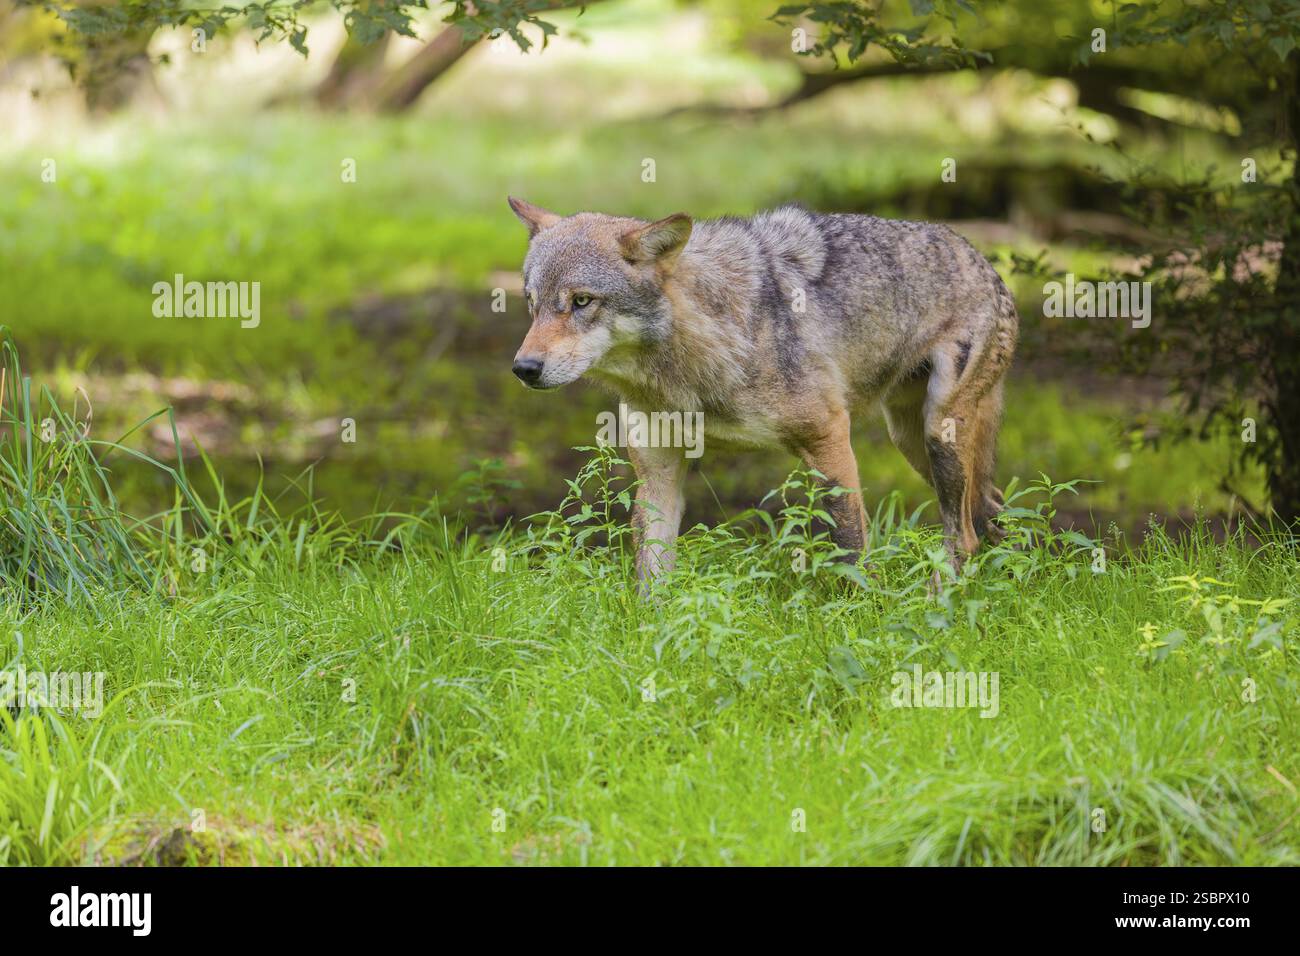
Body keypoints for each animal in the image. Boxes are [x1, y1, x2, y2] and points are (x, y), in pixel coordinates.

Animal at [508, 197, 1018, 586]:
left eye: (581, 301)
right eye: (532, 304)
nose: (524, 368)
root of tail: (985, 261)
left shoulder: (830, 438)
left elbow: (850, 550)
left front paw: (866, 616)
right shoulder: (658, 471)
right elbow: (652, 575)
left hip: (937, 437)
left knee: (965, 533)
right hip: (913, 444)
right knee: (989, 512)